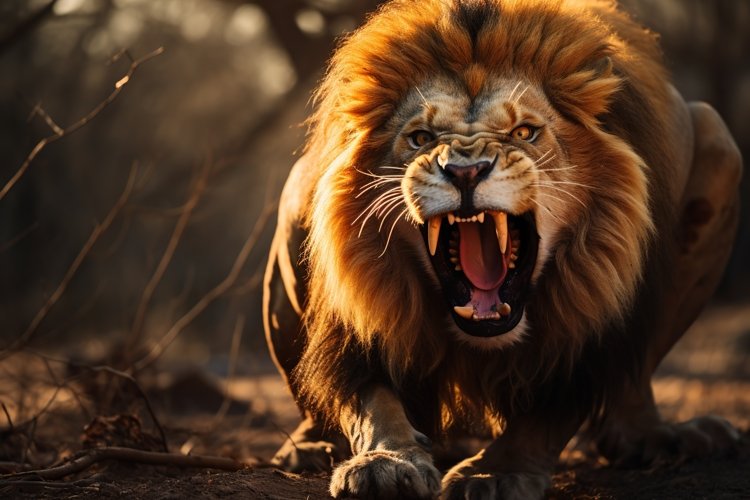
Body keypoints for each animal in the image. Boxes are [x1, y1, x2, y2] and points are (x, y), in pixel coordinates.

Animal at [262, 0, 743, 498]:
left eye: (525, 132)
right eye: (421, 138)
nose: (465, 171)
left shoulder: (588, 327)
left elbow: (550, 413)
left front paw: (493, 473)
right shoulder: (359, 323)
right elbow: (371, 399)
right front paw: (386, 461)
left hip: (718, 140)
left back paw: (653, 436)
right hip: (297, 203)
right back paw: (310, 446)